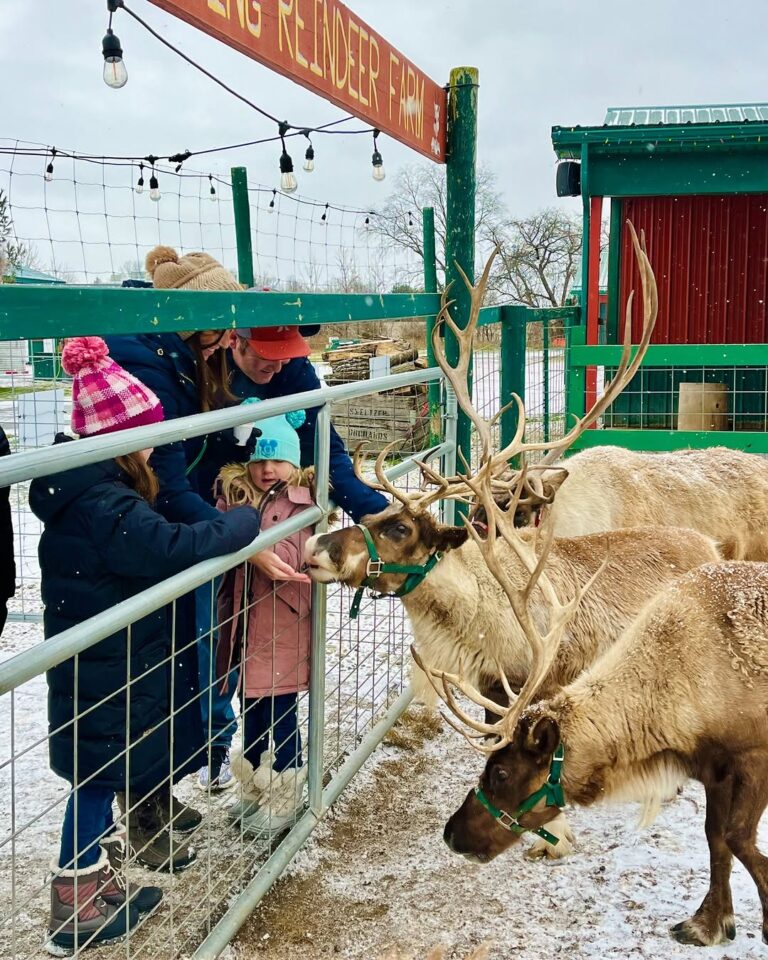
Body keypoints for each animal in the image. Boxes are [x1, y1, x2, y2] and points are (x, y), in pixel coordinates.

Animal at [306, 226, 721, 858]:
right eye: (375, 515)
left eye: (400, 528)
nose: (315, 550)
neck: (474, 613)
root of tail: (711, 549)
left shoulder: (535, 687)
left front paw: (555, 837)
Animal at [422, 436, 768, 947]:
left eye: (501, 772)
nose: (451, 833)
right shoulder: (712, 765)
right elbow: (717, 838)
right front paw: (711, 922)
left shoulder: (751, 757)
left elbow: (740, 840)